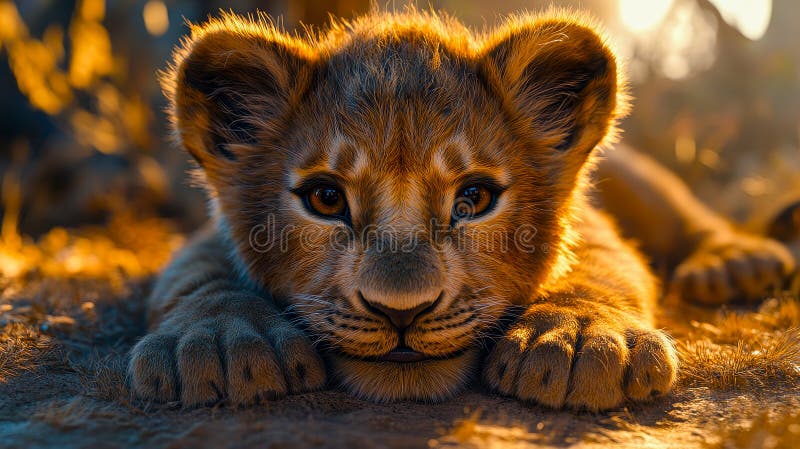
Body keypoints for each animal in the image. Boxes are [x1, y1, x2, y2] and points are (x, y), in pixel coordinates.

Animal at [127, 10, 796, 411]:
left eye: (473, 198)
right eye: (325, 198)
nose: (401, 312)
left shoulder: (597, 226)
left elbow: (604, 267)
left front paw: (578, 339)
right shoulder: (208, 234)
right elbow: (199, 275)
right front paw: (221, 340)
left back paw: (734, 264)